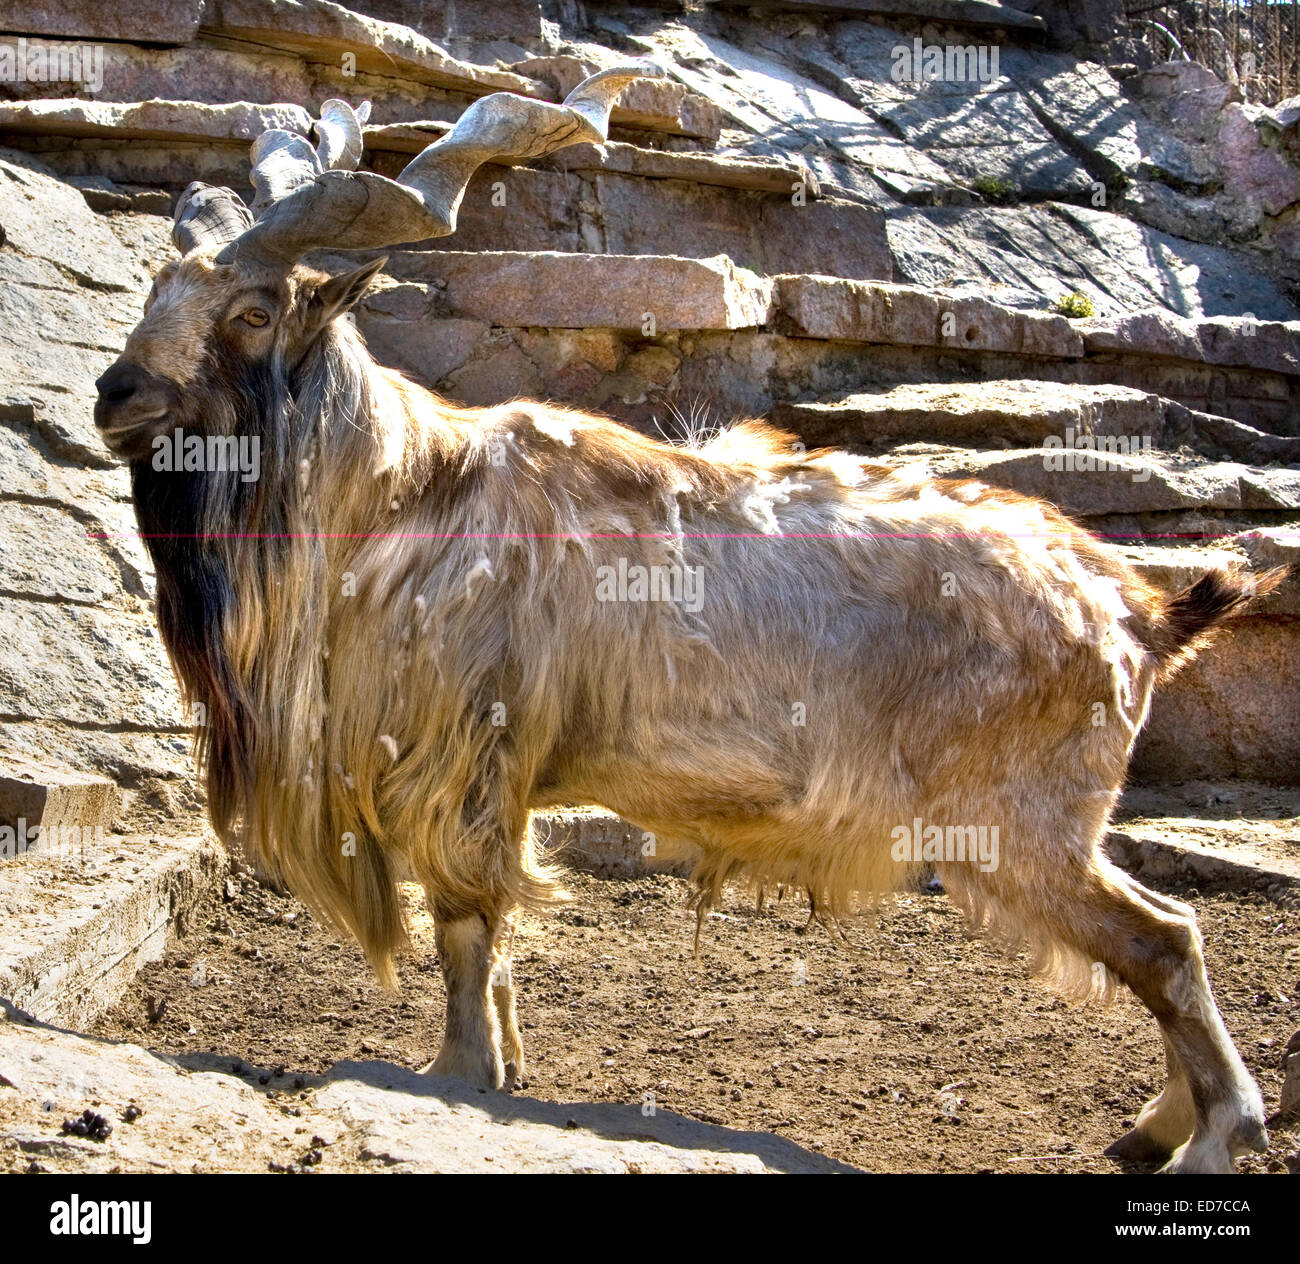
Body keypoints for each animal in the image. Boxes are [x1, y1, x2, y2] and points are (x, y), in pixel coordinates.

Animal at [92, 68, 1282, 1173]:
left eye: (251, 311)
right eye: (159, 285)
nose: (115, 396)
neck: (401, 494)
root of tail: (1132, 610)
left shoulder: (461, 765)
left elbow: (466, 923)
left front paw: (457, 1074)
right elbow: (489, 937)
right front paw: (503, 1064)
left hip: (1022, 826)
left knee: (1165, 940)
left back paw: (1213, 1136)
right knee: (1166, 935)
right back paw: (1157, 1125)